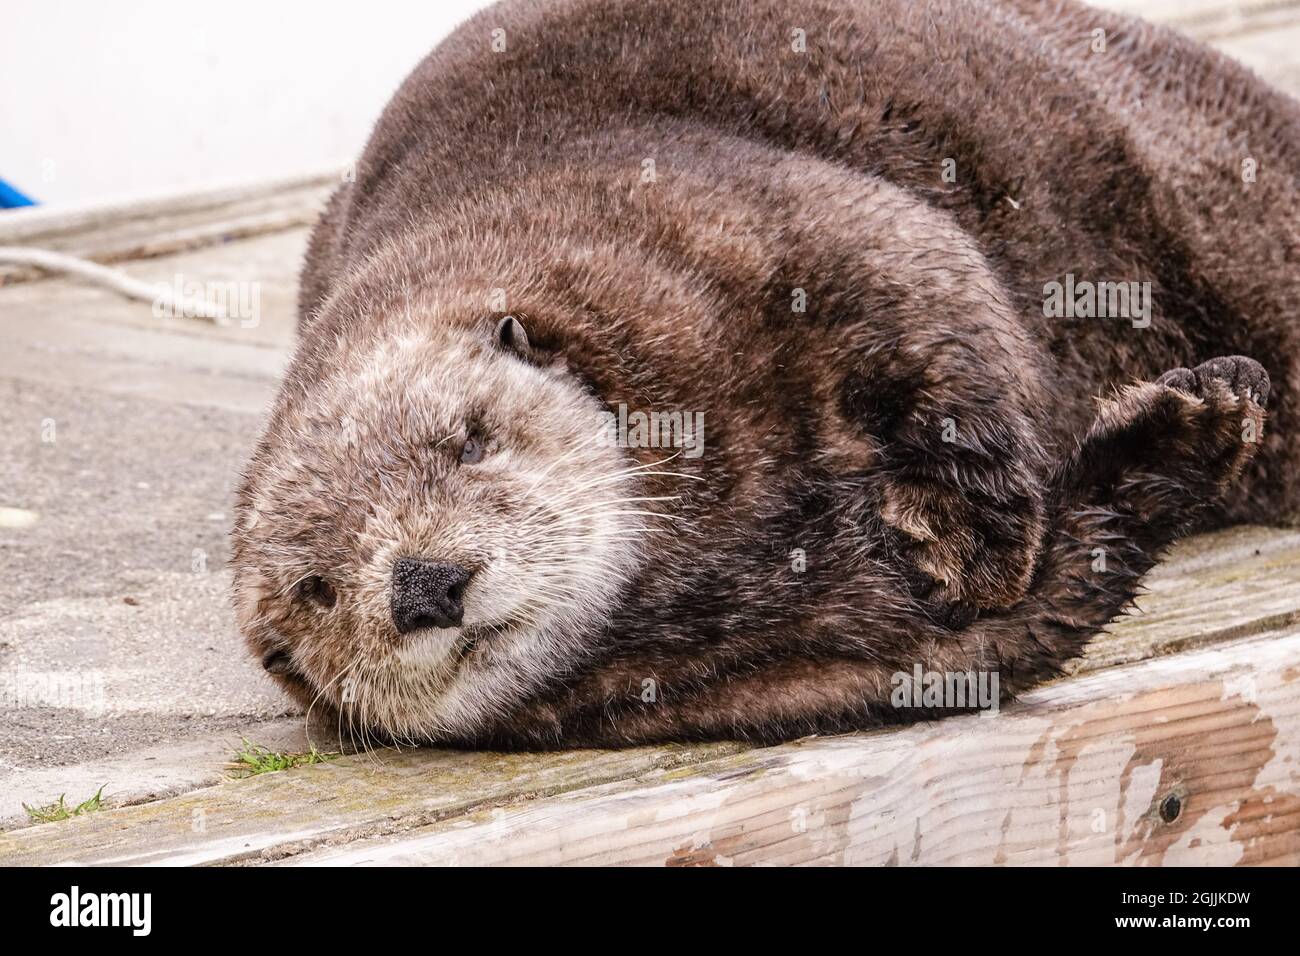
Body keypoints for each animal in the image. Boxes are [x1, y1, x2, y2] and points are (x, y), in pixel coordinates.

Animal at [232, 0, 1299, 747]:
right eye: (319, 590)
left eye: (469, 438)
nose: (427, 585)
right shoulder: (737, 676)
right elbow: (984, 644)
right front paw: (1190, 426)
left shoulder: (735, 231)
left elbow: (937, 297)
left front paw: (972, 538)